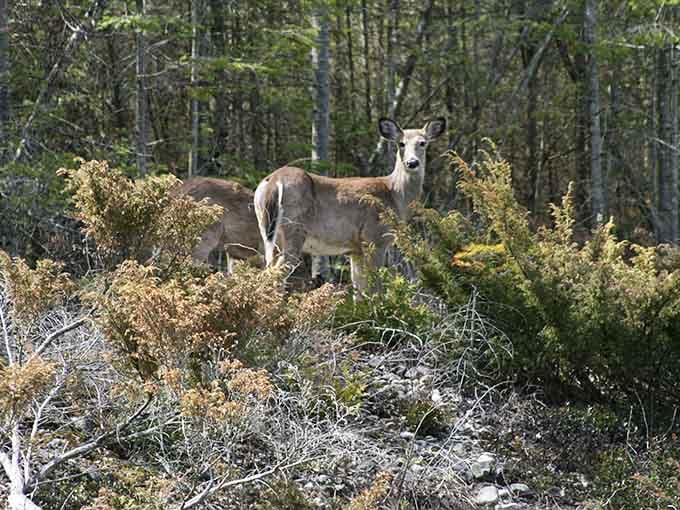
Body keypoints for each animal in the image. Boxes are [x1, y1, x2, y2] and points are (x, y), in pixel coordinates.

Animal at [254, 117, 446, 292]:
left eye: (422, 143)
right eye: (401, 143)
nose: (412, 162)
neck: (394, 195)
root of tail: (274, 181)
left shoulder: (355, 249)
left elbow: (358, 289)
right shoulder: (375, 238)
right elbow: (374, 288)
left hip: (267, 231)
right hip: (294, 231)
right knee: (275, 275)